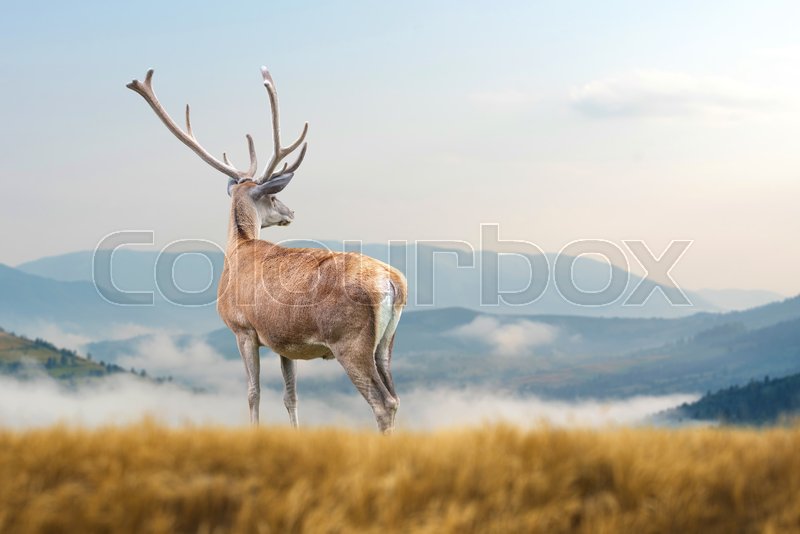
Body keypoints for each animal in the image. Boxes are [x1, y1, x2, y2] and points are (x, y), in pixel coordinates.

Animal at [126, 67, 407, 434]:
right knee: (396, 397)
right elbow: (291, 396)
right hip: (386, 342)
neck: (238, 247)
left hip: (350, 340)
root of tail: (394, 283)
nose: (291, 212)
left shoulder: (243, 328)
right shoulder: (282, 341)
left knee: (383, 402)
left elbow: (253, 393)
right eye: (274, 197)